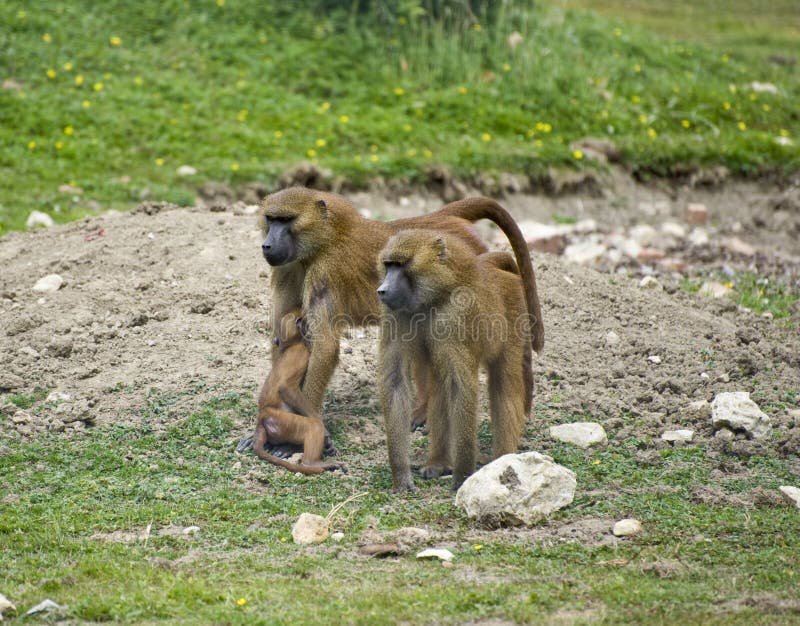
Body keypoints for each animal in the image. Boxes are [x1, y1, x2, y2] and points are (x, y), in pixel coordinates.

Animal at [249, 308, 346, 475]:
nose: (305, 322)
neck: (291, 344)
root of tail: (262, 418)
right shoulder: (302, 352)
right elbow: (286, 388)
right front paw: (326, 435)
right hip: (283, 422)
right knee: (313, 426)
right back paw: (312, 463)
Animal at [255, 187, 544, 434]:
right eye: (271, 219)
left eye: (286, 220)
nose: (267, 245)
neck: (325, 239)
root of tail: (444, 218)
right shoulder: (289, 268)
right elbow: (283, 339)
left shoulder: (326, 272)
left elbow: (323, 347)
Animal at [376, 230, 534, 492]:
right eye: (388, 265)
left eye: (401, 265)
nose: (382, 290)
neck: (432, 300)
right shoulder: (394, 315)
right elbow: (396, 381)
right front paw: (401, 475)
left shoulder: (455, 317)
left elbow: (461, 385)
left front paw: (463, 476)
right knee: (440, 387)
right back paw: (439, 463)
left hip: (514, 319)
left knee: (504, 385)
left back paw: (502, 457)